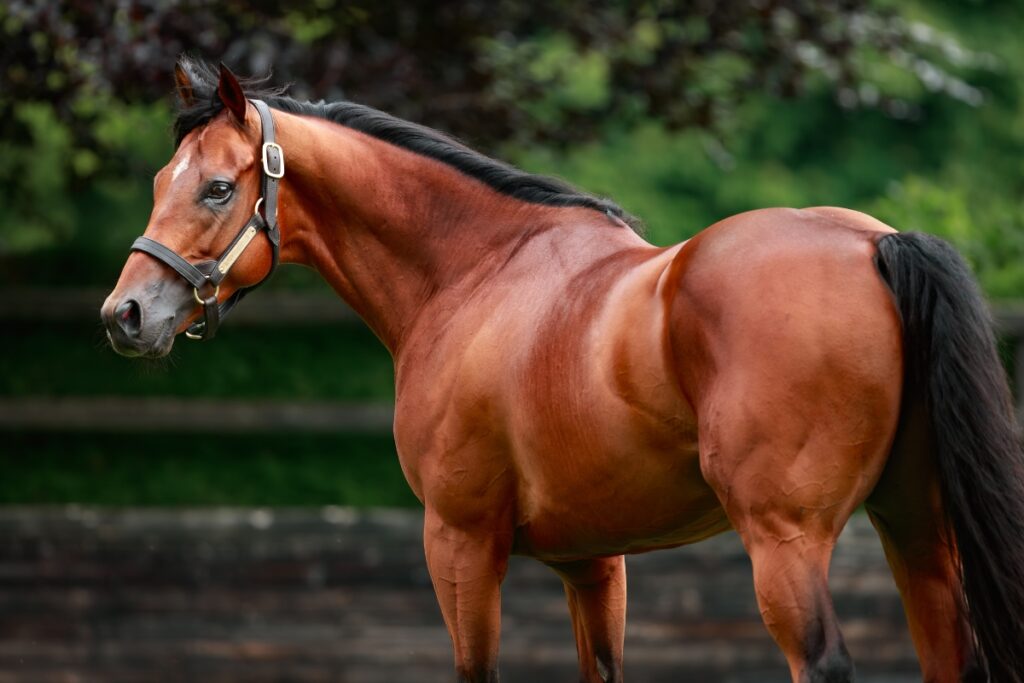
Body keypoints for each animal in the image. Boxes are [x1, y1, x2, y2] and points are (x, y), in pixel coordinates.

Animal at [102, 58, 1024, 682]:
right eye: (160, 178)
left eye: (218, 188)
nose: (126, 314)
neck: (476, 270)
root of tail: (875, 245)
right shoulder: (594, 562)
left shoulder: (461, 542)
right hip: (917, 529)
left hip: (787, 543)